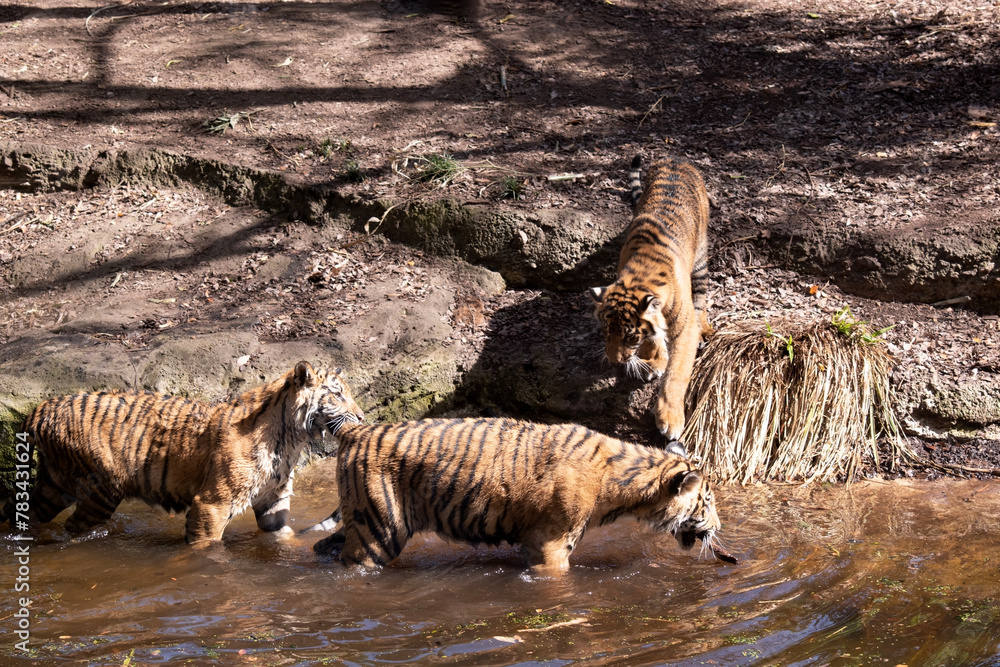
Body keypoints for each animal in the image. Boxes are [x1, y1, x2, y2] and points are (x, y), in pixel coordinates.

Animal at [1, 362, 363, 544]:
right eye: (337, 394)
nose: (360, 417)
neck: (291, 438)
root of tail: (40, 409)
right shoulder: (212, 504)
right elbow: (206, 545)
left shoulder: (272, 501)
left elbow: (283, 537)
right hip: (101, 489)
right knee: (73, 528)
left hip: (54, 486)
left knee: (19, 512)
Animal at [309, 418, 727, 573]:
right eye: (706, 503)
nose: (719, 526)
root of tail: (354, 431)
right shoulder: (550, 544)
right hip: (379, 531)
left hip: (360, 519)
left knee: (323, 547)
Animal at [590, 155, 712, 443]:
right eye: (605, 332)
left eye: (629, 337)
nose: (614, 360)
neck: (639, 277)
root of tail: (676, 159)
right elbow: (655, 337)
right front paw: (653, 358)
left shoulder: (684, 328)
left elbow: (677, 372)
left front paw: (670, 419)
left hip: (701, 256)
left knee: (702, 297)